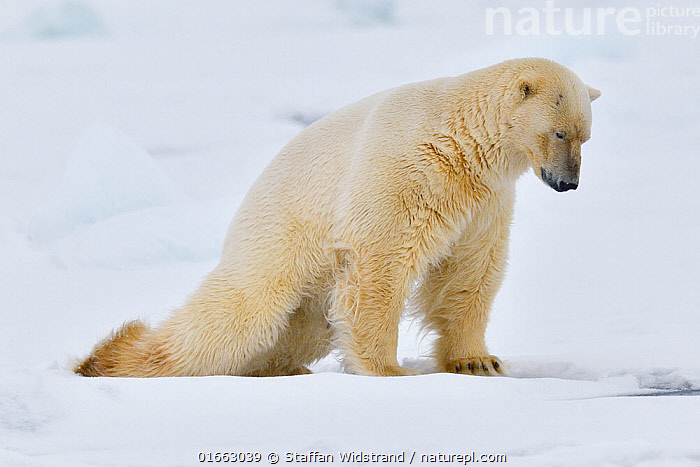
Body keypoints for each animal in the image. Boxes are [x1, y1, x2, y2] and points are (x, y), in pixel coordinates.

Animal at [74, 57, 600, 378]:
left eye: (585, 136)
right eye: (559, 133)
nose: (568, 183)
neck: (462, 140)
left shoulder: (483, 202)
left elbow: (468, 272)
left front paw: (477, 362)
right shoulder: (405, 172)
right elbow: (381, 261)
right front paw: (388, 368)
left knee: (298, 329)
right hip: (277, 238)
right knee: (241, 313)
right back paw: (111, 357)